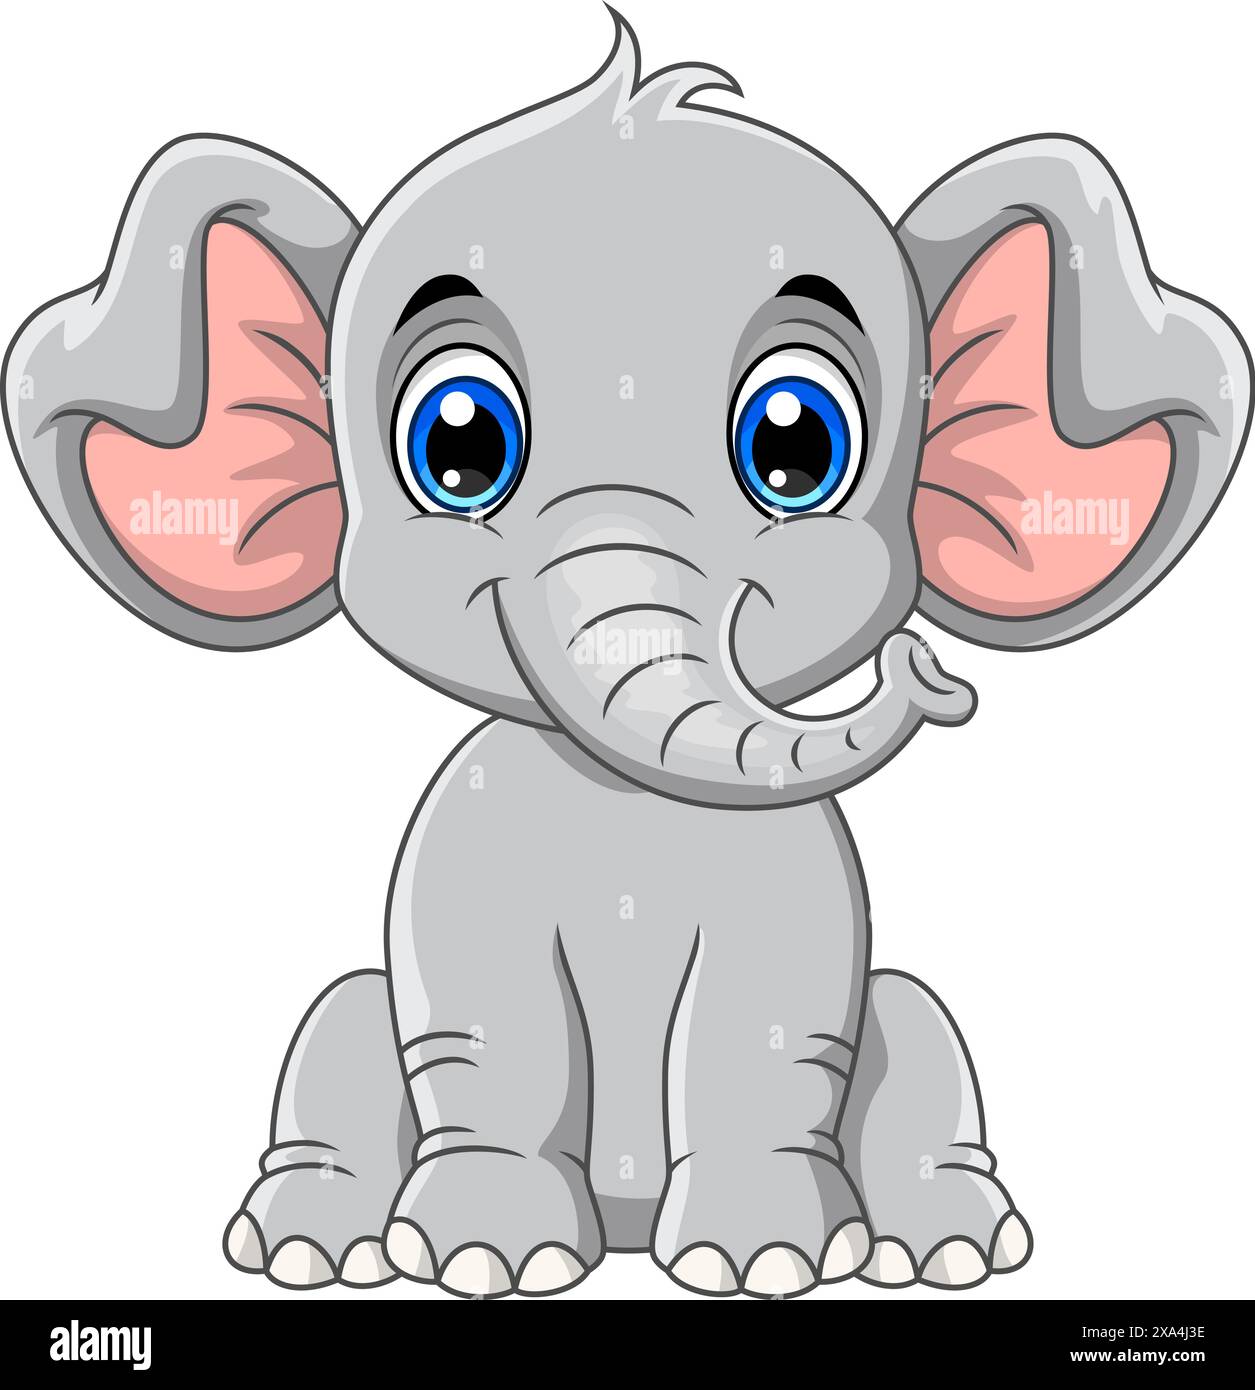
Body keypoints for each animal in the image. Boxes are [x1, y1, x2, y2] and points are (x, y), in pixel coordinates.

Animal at [4, 11, 1249, 1299]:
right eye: (458, 444)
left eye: (797, 445)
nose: (930, 673)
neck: (620, 792)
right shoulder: (464, 852)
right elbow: (484, 1020)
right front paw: (484, 1258)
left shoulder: (798, 889)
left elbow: (772, 1022)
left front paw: (765, 1260)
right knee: (344, 1013)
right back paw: (308, 1243)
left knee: (915, 1014)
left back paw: (947, 1244)